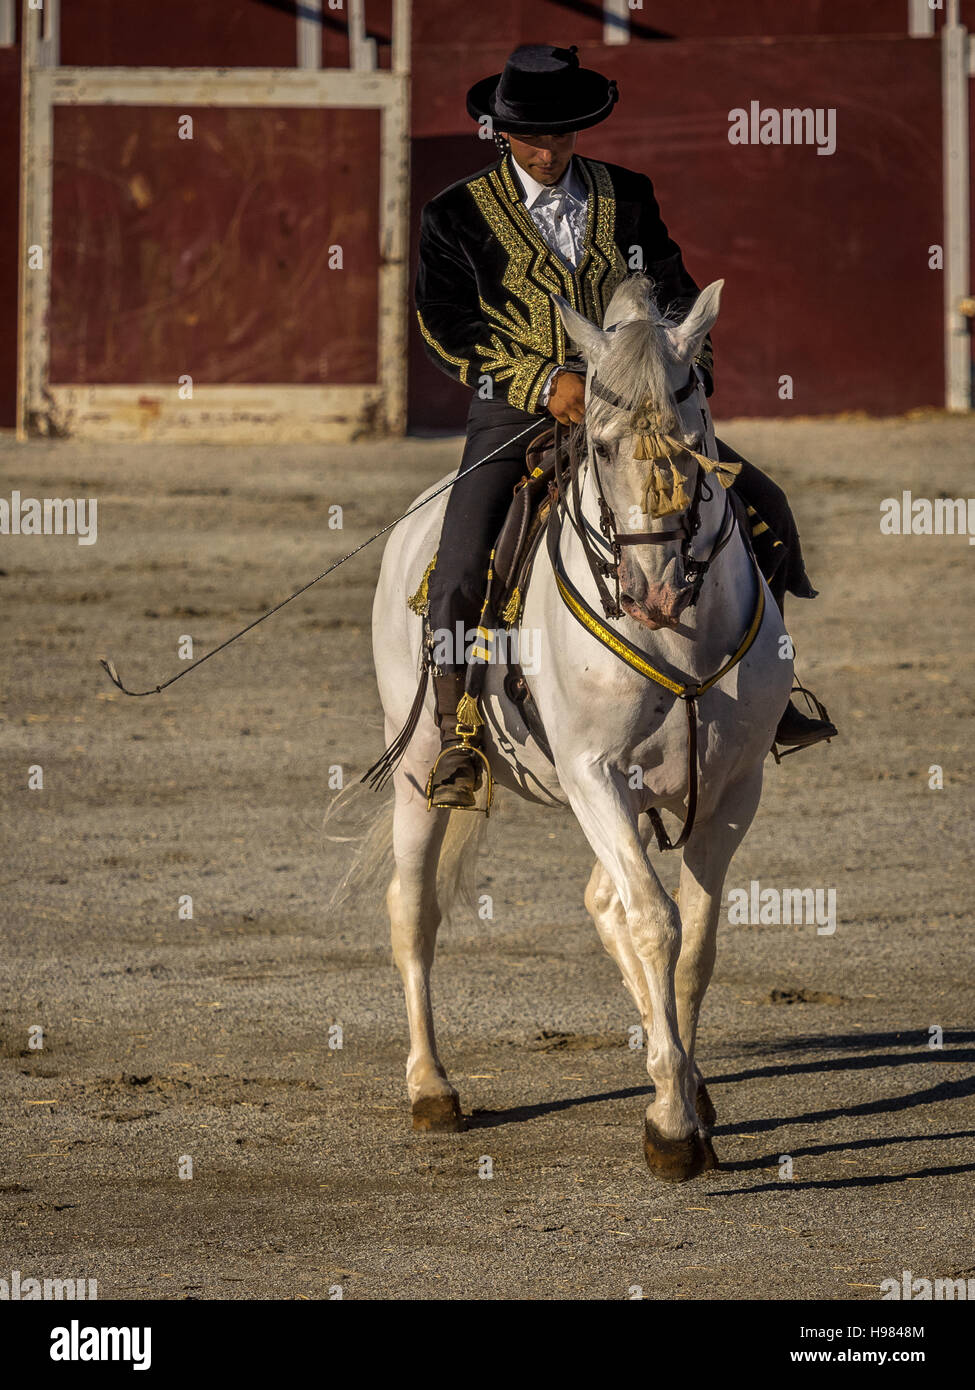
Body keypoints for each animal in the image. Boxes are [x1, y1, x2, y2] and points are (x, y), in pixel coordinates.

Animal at [370, 274, 792, 1181]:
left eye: (694, 438)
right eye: (597, 448)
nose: (651, 590)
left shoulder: (733, 789)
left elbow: (693, 939)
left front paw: (684, 1095)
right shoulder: (594, 771)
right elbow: (655, 921)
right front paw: (670, 1127)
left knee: (604, 900)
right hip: (420, 762)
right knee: (413, 908)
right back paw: (431, 1089)